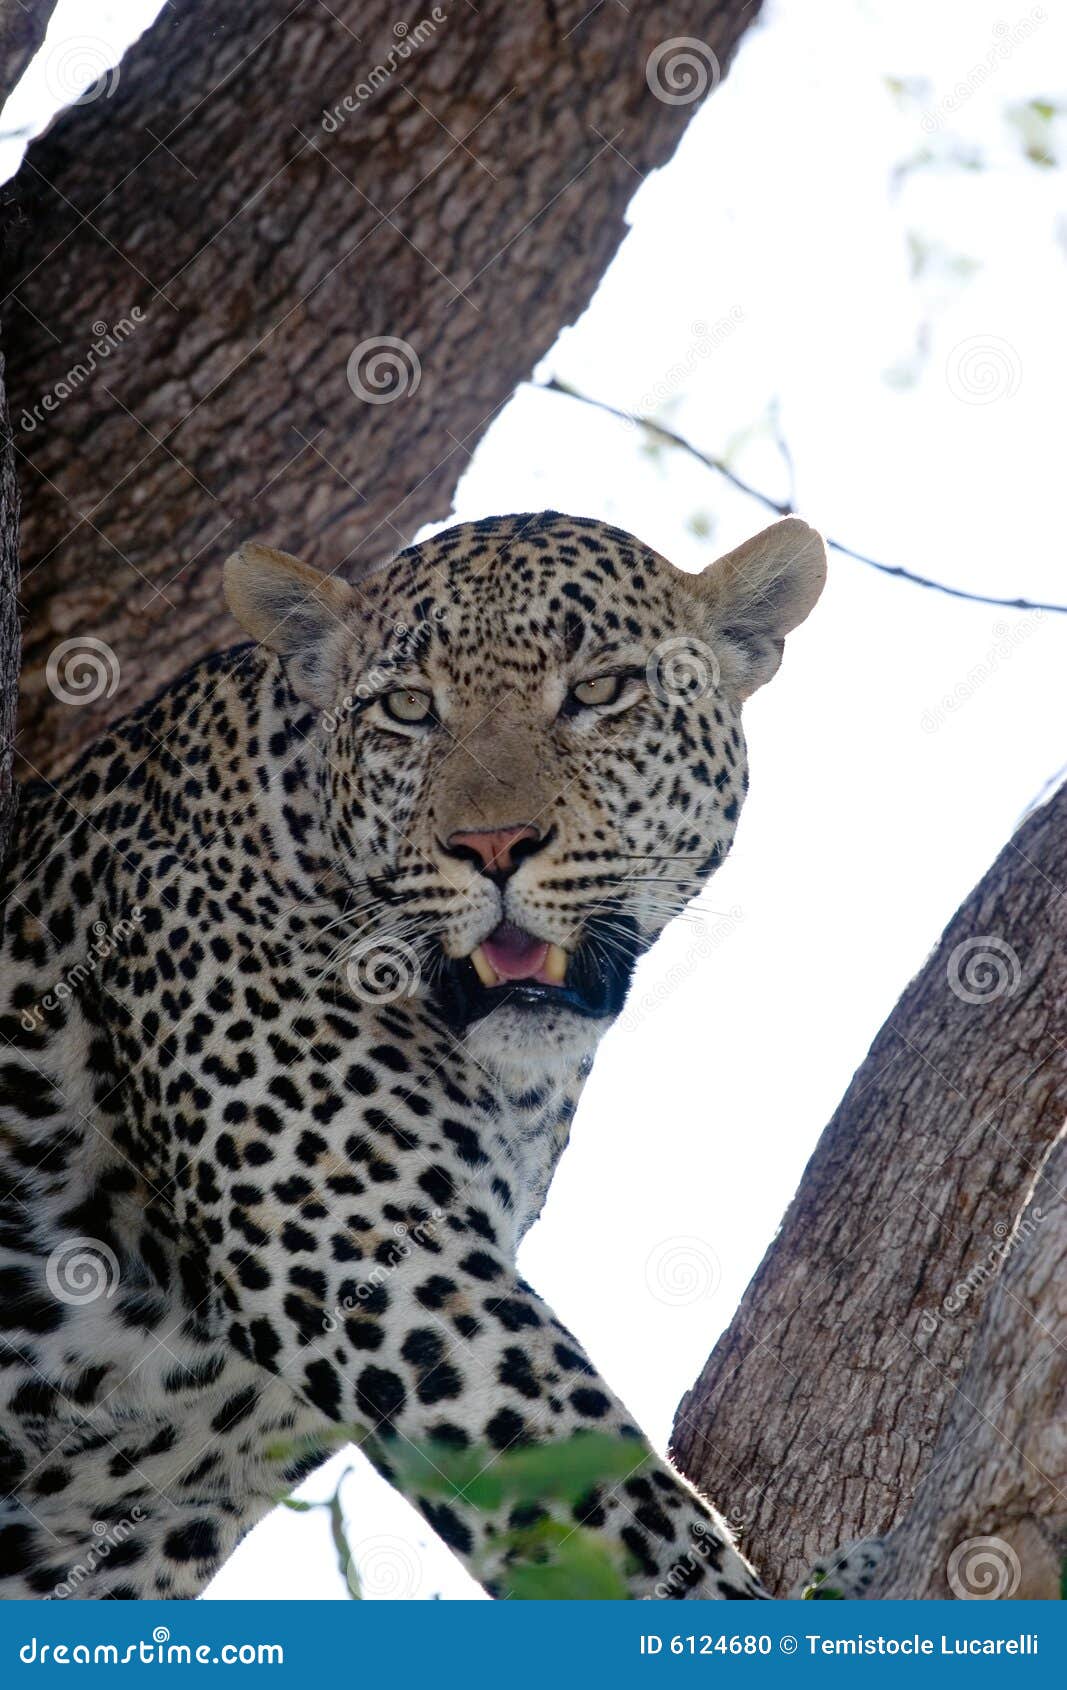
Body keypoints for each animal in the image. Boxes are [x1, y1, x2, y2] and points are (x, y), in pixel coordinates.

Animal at [0, 508, 827, 1601]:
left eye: (600, 690)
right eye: (407, 708)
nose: (494, 845)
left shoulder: (131, 1521)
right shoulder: (358, 1246)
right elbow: (612, 1508)